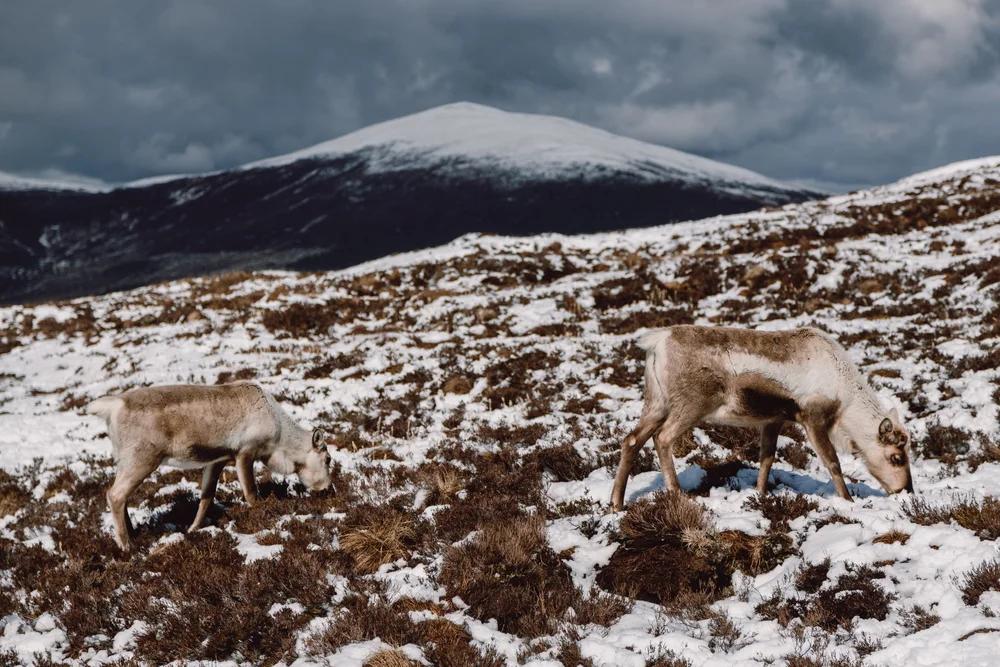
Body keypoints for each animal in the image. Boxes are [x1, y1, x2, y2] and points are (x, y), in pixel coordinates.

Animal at [86, 381, 332, 551]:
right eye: (328, 459)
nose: (329, 489)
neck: (279, 437)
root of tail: (113, 406)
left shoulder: (217, 461)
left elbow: (206, 498)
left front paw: (192, 529)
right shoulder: (245, 452)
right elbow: (251, 493)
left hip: (125, 461)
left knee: (122, 496)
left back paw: (133, 534)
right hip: (142, 458)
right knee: (115, 495)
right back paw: (127, 546)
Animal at [610, 325, 912, 511]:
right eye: (897, 457)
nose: (906, 491)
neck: (844, 399)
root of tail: (658, 342)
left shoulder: (773, 420)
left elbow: (766, 458)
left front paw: (760, 495)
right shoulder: (812, 418)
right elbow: (833, 462)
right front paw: (848, 500)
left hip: (656, 403)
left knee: (631, 440)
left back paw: (616, 503)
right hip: (691, 405)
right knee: (662, 438)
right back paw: (676, 494)